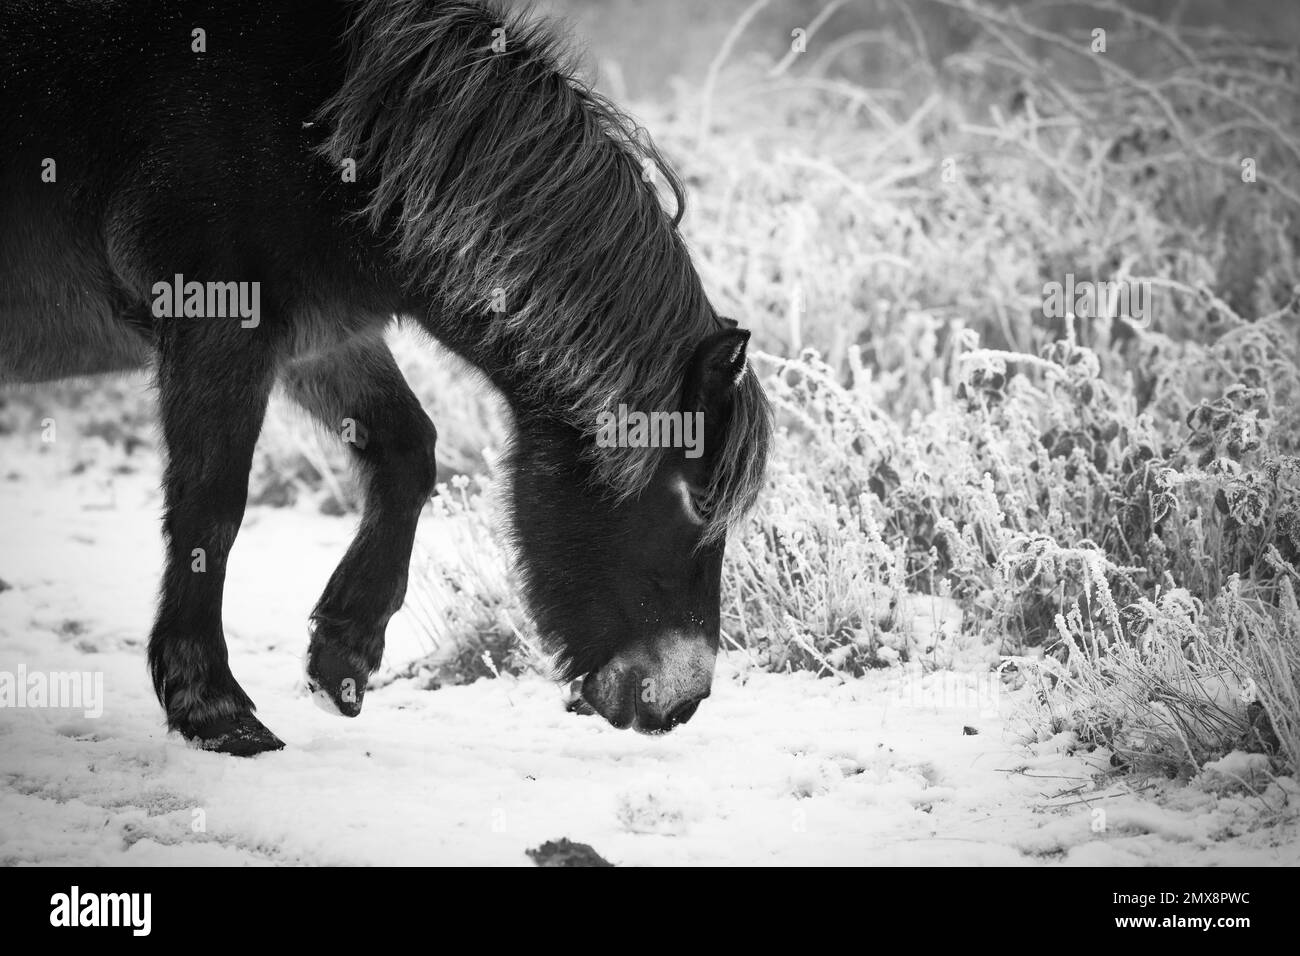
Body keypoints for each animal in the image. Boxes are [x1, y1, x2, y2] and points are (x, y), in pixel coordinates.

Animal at [0, 0, 771, 754]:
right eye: (696, 498)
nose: (684, 701)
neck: (319, 128)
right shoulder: (215, 324)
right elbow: (209, 510)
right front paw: (215, 710)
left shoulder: (320, 341)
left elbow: (407, 452)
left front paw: (342, 656)